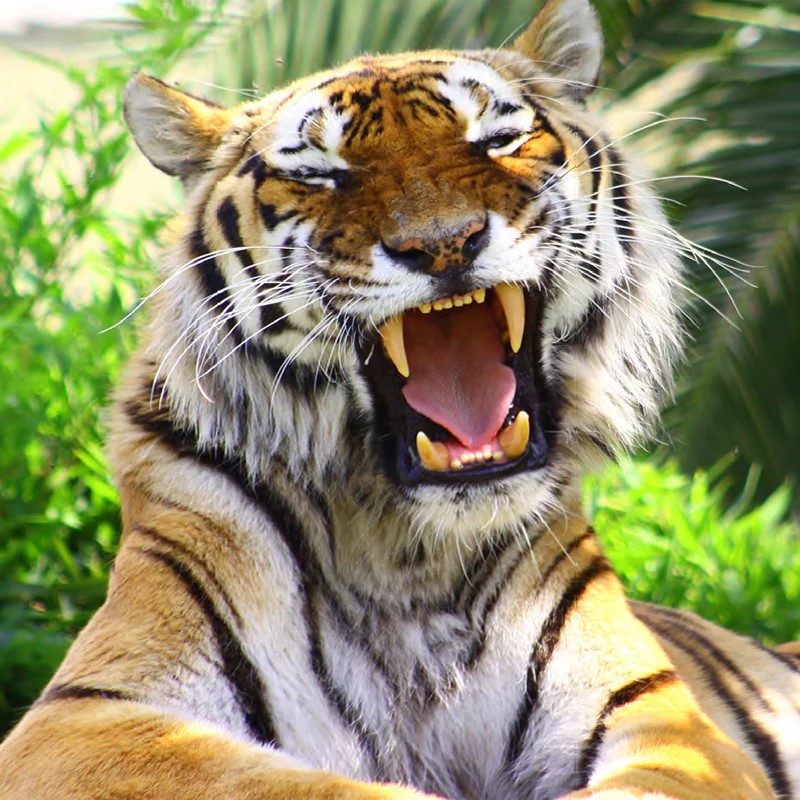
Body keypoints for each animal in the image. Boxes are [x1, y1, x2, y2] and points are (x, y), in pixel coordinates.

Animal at [1, 0, 798, 798]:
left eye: (498, 140)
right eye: (320, 174)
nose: (444, 244)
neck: (407, 554)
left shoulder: (671, 726)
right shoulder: (84, 718)